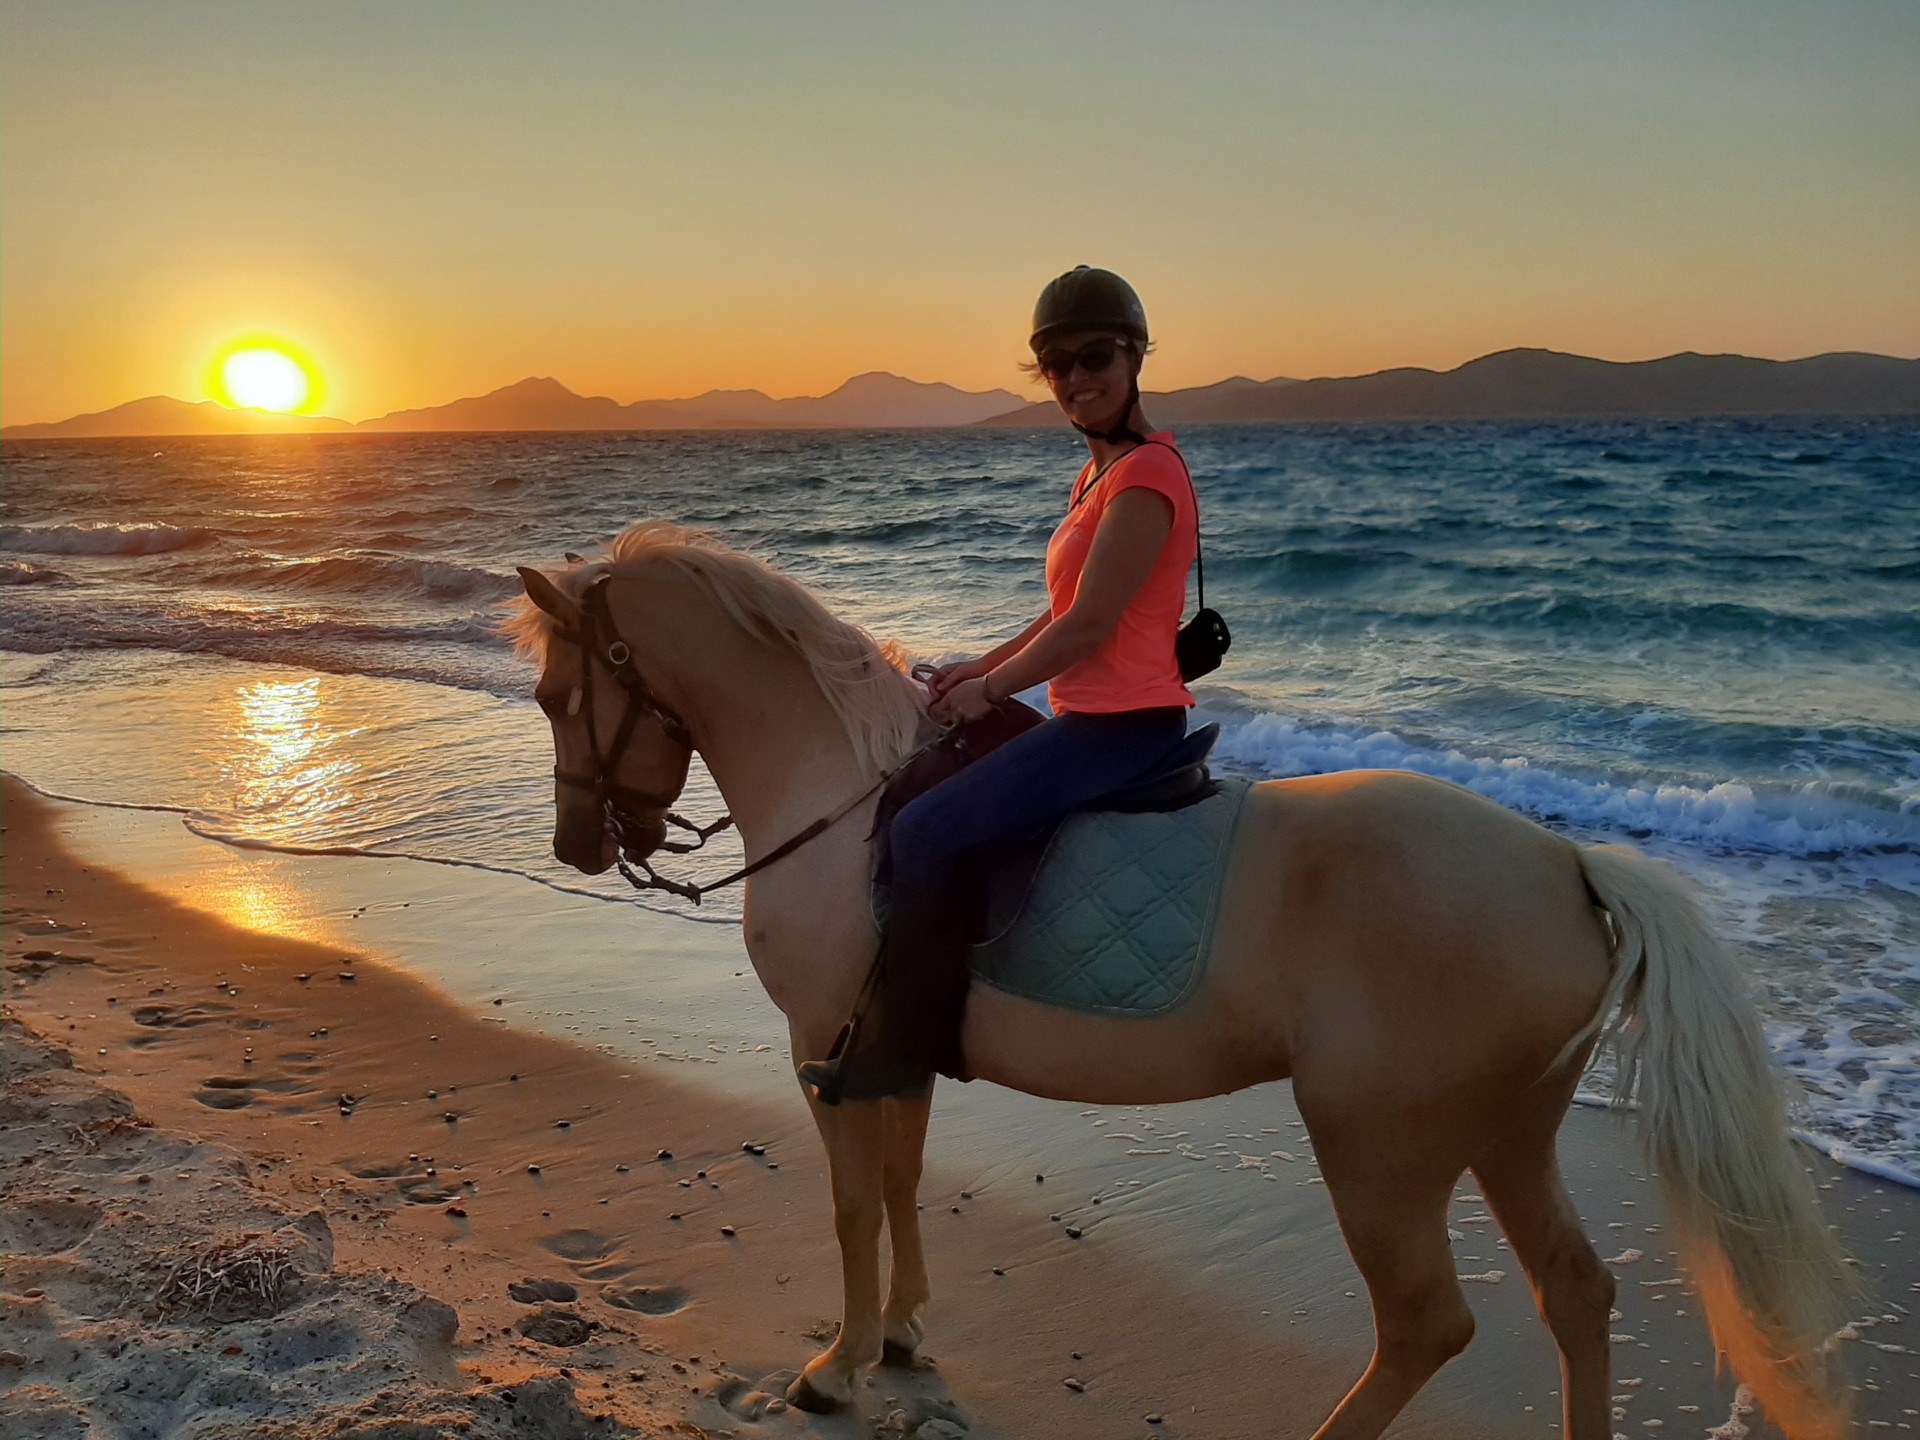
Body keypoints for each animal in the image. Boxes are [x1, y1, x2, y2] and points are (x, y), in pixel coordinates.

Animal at [504, 520, 1852, 1440]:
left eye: (555, 692)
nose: (575, 849)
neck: (846, 799)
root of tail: (1565, 862)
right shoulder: (894, 1051)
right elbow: (899, 1184)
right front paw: (899, 1331)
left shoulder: (824, 1051)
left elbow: (848, 1206)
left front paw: (837, 1364)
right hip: (1510, 1131)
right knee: (1574, 1292)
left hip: (1382, 1146)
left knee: (1429, 1324)